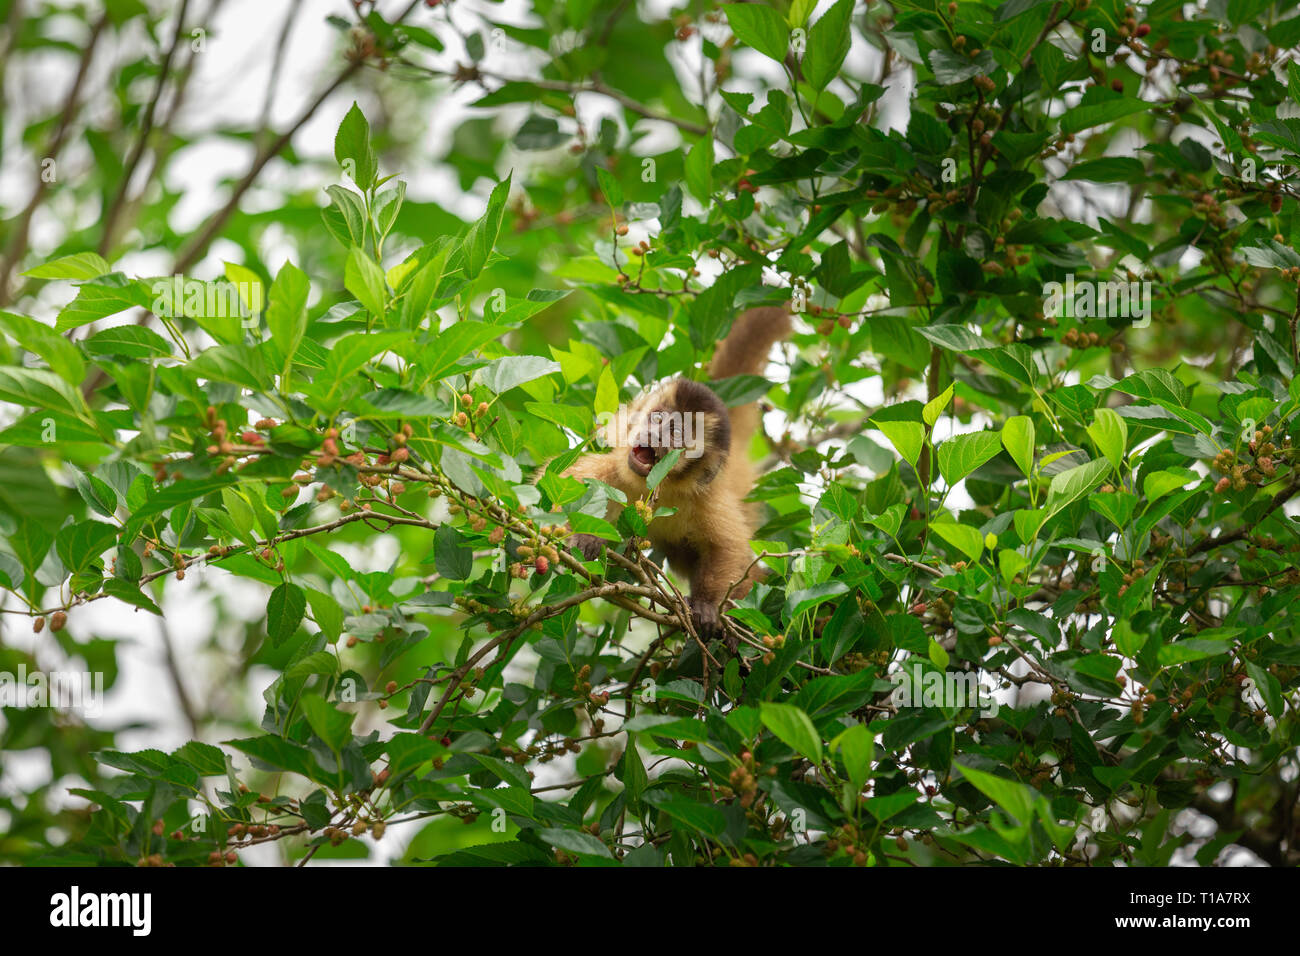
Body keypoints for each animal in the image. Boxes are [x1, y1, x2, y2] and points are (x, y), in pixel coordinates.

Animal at [554, 306, 793, 638]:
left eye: (677, 434)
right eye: (658, 418)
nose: (657, 434)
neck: (655, 487)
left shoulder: (706, 496)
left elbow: (730, 550)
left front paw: (708, 607)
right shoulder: (610, 470)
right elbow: (550, 493)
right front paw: (586, 538)